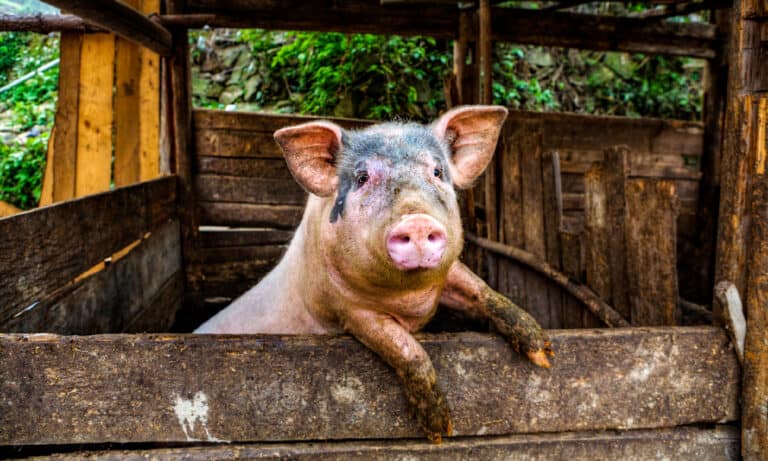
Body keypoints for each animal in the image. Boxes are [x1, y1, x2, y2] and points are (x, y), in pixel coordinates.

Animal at [196, 105, 553, 442]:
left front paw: (543, 356)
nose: (416, 222)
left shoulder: (448, 271)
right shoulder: (348, 311)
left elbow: (482, 291)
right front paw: (441, 431)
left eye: (437, 171)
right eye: (363, 177)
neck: (406, 297)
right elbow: (404, 348)